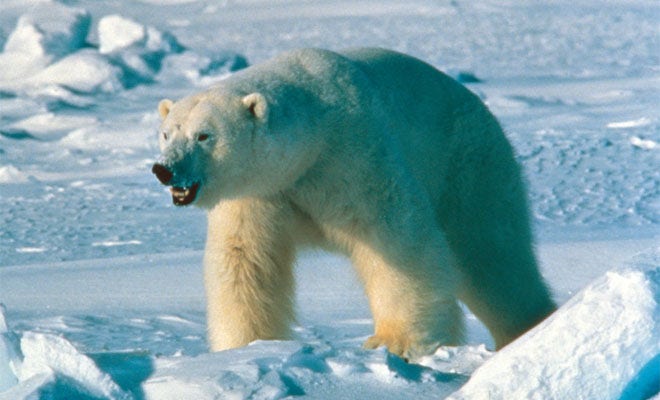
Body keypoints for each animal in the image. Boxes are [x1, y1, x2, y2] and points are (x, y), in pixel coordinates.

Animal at [152, 47, 556, 360]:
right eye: (167, 133)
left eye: (204, 135)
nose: (164, 169)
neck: (311, 138)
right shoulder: (259, 193)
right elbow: (244, 258)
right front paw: (244, 347)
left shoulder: (352, 156)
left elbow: (395, 239)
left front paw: (394, 342)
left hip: (467, 166)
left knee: (491, 254)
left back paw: (530, 327)